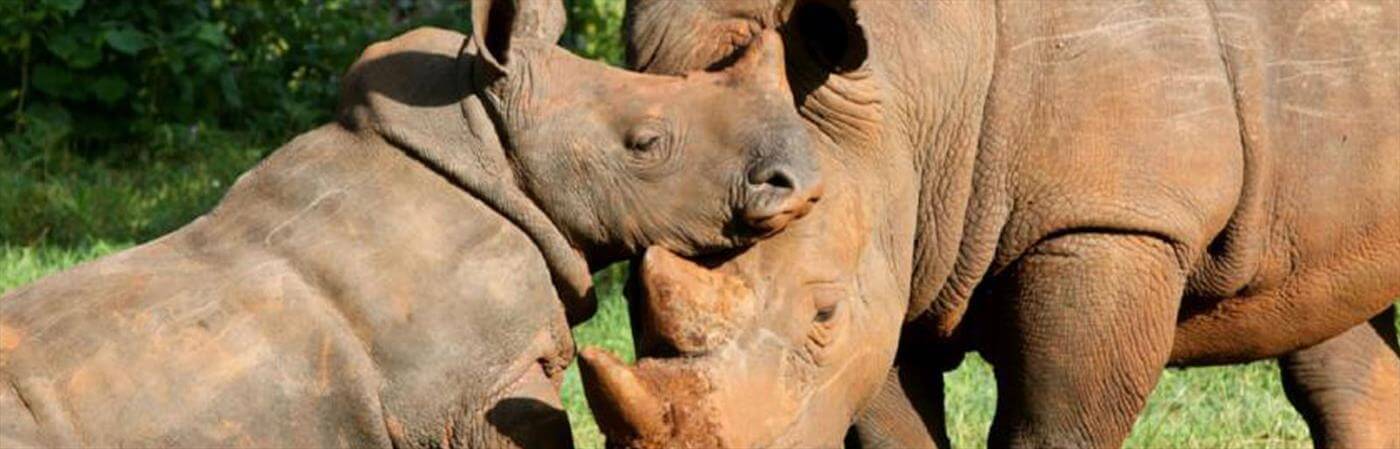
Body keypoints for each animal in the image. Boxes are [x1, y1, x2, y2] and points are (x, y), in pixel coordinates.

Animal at [578, 1, 1400, 448]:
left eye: (823, 314)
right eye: (634, 301)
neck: (916, 82)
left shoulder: (1111, 220)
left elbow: (1057, 424)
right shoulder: (903, 231)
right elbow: (890, 425)